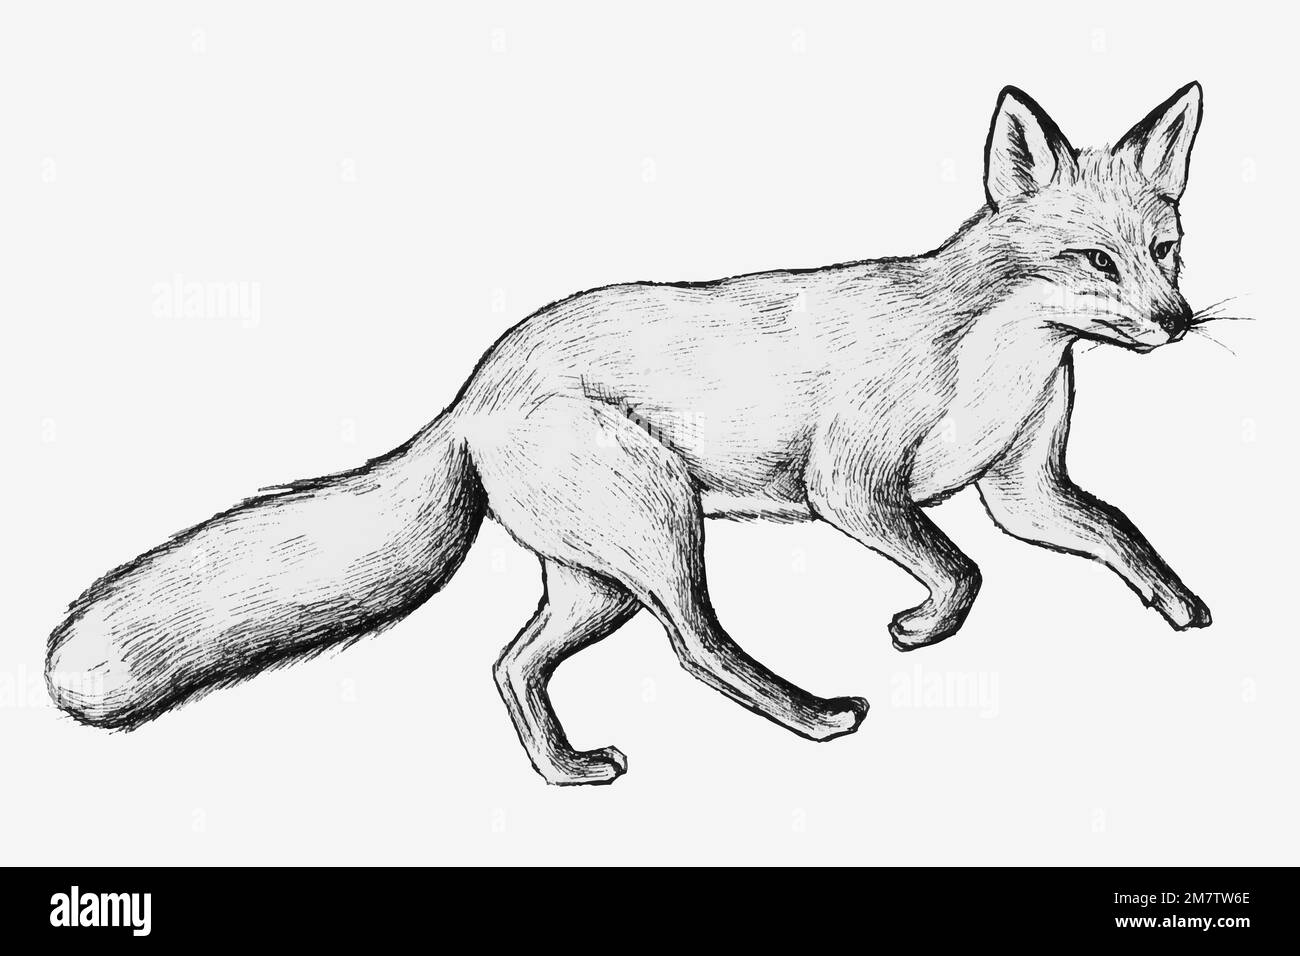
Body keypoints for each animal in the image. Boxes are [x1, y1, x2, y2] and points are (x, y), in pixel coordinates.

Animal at [47, 83, 1217, 785]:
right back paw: (812, 718)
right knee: (695, 647)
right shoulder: (850, 487)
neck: (998, 352)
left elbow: (1116, 530)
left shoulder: (1023, 488)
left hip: (597, 581)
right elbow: (966, 572)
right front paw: (922, 628)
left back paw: (565, 772)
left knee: (510, 665)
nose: (1176, 321)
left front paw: (1180, 604)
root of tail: (471, 392)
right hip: (662, 536)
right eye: (1095, 262)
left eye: (1166, 252)